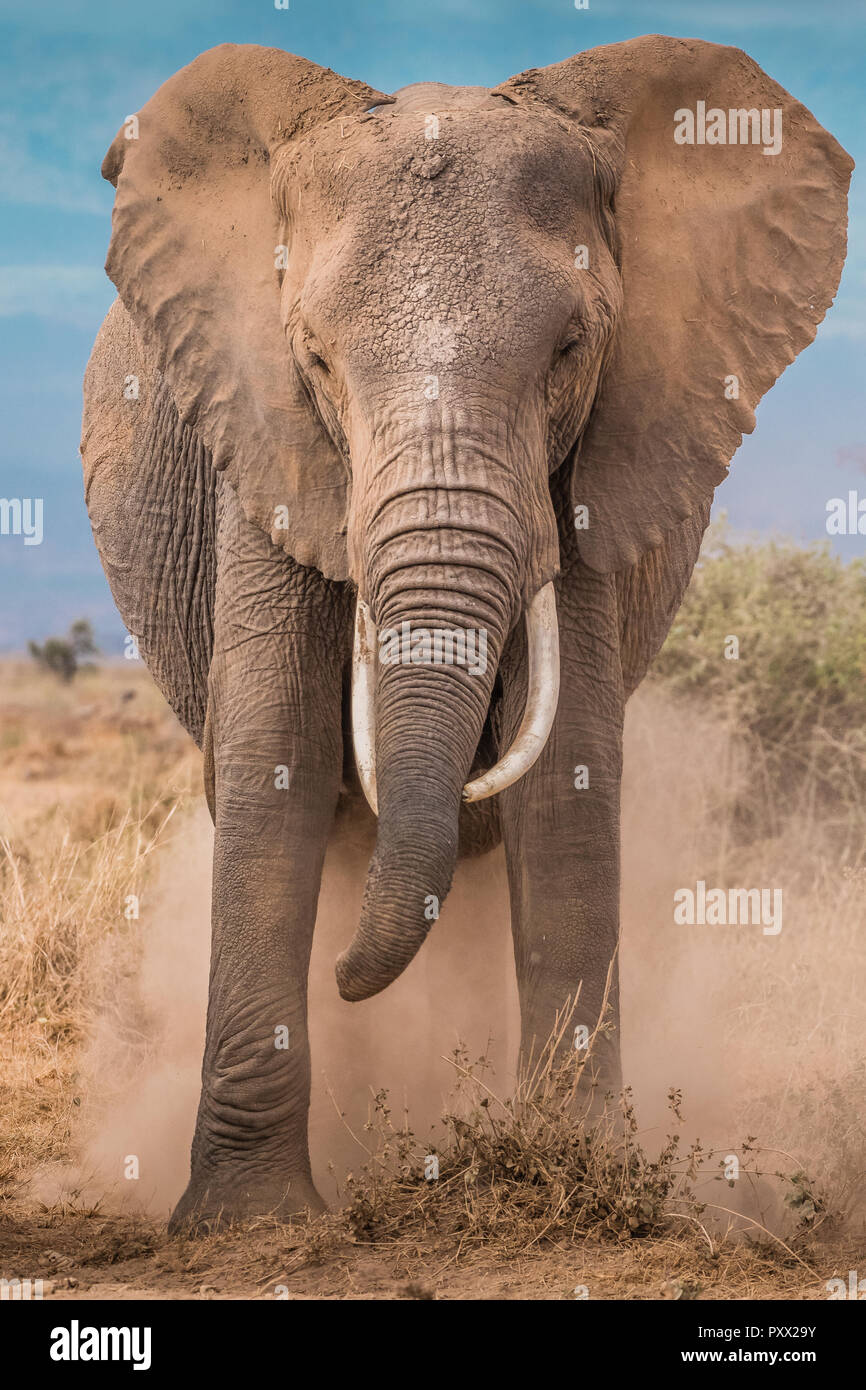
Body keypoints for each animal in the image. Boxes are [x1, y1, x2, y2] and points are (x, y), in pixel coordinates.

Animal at [80, 35, 851, 1228]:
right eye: (315, 360)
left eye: (571, 350)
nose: (345, 978)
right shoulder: (260, 440)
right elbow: (277, 755)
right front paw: (251, 1223)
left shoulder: (596, 459)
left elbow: (567, 769)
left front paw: (581, 1173)